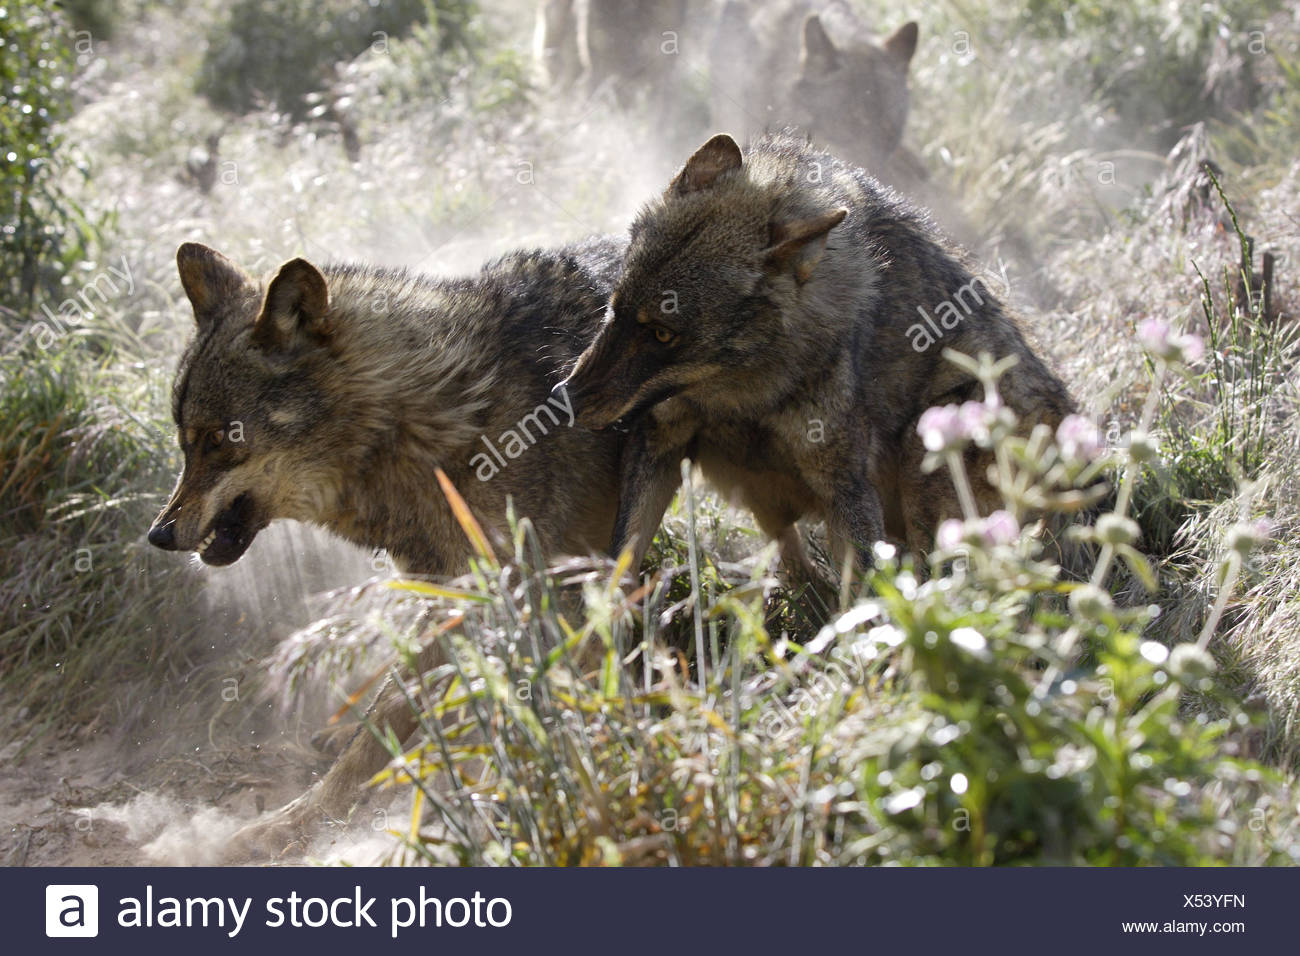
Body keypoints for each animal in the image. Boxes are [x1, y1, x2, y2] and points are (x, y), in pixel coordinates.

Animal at [148, 237, 630, 854]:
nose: (159, 534)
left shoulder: (534, 591)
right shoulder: (455, 596)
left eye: (218, 440)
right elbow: (382, 725)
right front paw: (296, 822)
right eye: (185, 442)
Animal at [560, 131, 1075, 575]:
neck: (747, 390)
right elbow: (620, 564)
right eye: (615, 309)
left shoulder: (844, 487)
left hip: (929, 441)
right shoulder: (658, 445)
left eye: (663, 334)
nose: (564, 397)